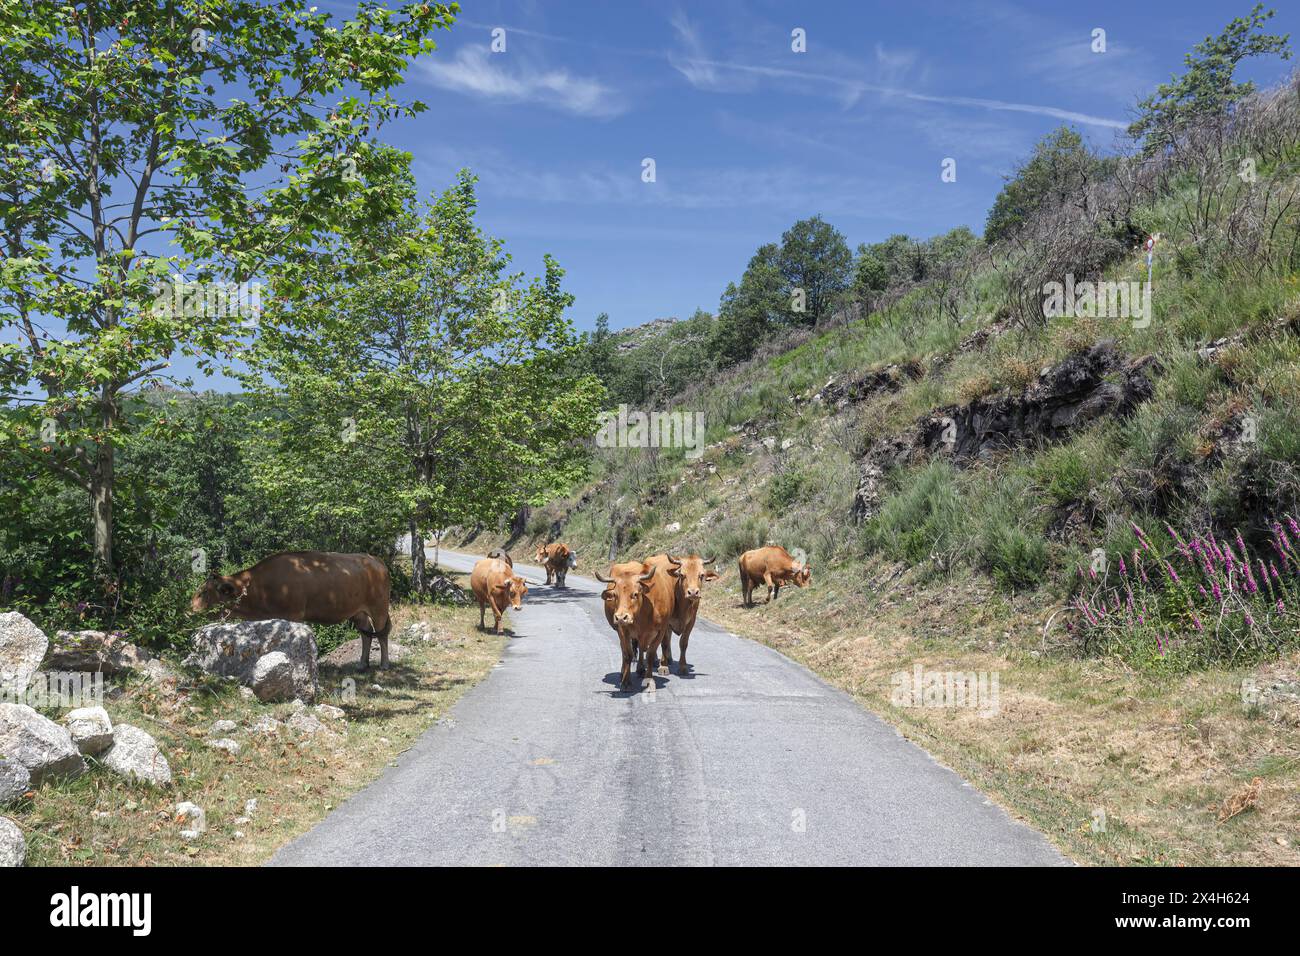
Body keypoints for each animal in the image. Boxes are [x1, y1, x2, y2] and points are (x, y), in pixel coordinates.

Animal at [190, 551, 393, 669]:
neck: (259, 586)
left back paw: (384, 665)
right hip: (359, 613)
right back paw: (362, 664)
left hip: (379, 608)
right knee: (366, 634)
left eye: (204, 592)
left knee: (382, 634)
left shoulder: (294, 615)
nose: (190, 609)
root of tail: (376, 560)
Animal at [595, 559, 676, 689]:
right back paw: (624, 671)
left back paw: (641, 670)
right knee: (626, 650)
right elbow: (628, 654)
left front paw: (649, 680)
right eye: (615, 595)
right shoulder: (623, 630)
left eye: (635, 594)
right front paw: (626, 682)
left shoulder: (660, 631)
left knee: (642, 649)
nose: (621, 617)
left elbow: (650, 654)